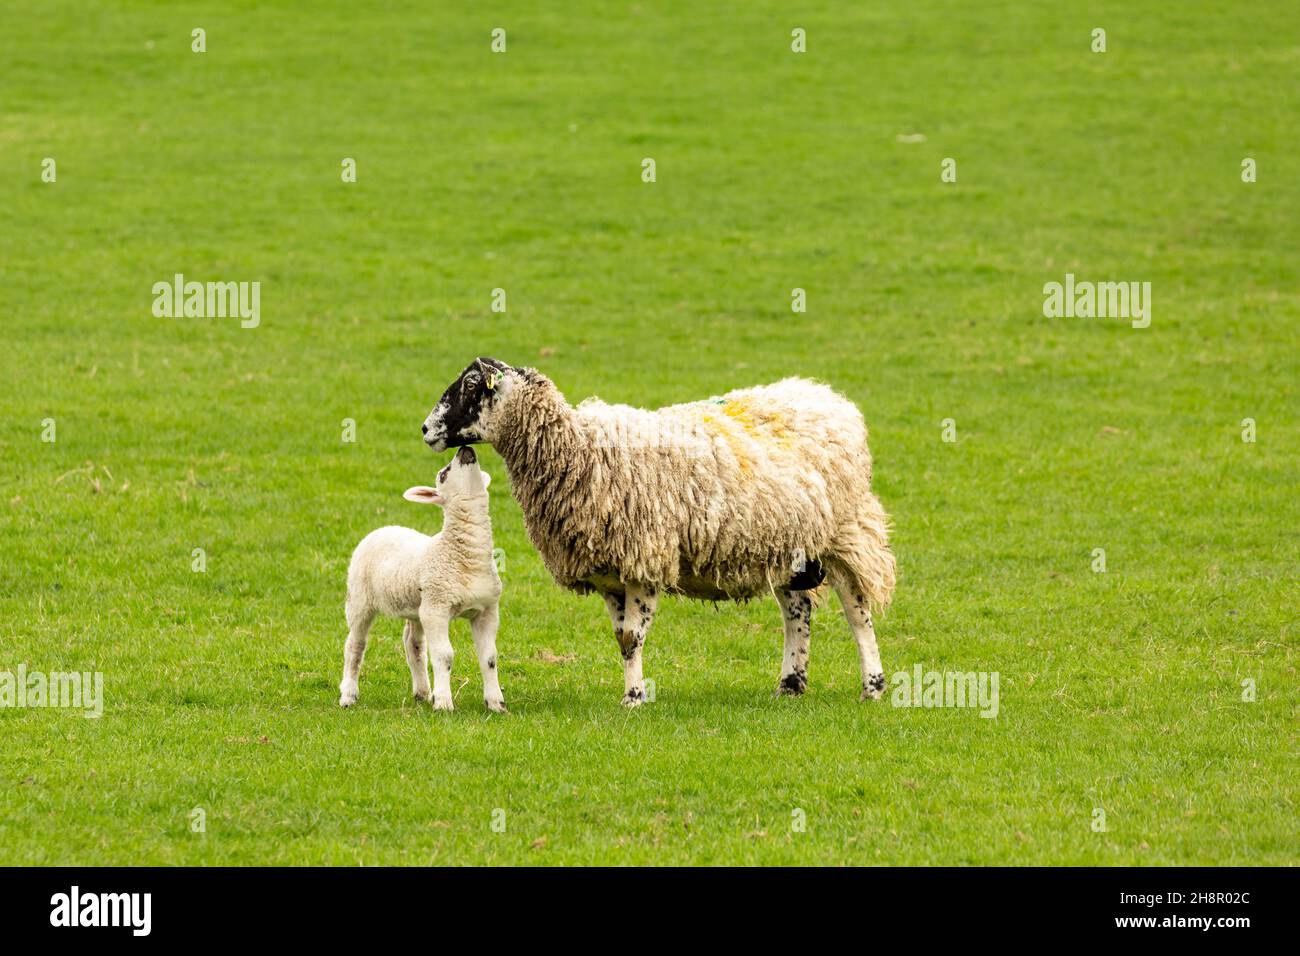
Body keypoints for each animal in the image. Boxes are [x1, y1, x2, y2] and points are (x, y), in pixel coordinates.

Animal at [338, 447, 504, 712]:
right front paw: (444, 702)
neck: (462, 555)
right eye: (443, 474)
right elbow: (444, 655)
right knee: (355, 645)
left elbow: (489, 658)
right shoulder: (437, 608)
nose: (465, 449)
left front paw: (495, 702)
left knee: (413, 643)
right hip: (360, 599)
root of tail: (383, 528)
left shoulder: (487, 610)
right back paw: (348, 695)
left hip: (416, 606)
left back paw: (423, 692)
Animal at [421, 358, 899, 712]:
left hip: (843, 533)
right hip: (786, 548)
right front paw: (631, 691)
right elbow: (621, 639)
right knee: (798, 612)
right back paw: (790, 685)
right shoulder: (608, 574)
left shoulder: (644, 561)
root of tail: (825, 395)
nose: (426, 429)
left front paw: (634, 699)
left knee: (857, 609)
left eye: (470, 386)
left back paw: (872, 686)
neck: (578, 450)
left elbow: (633, 636)